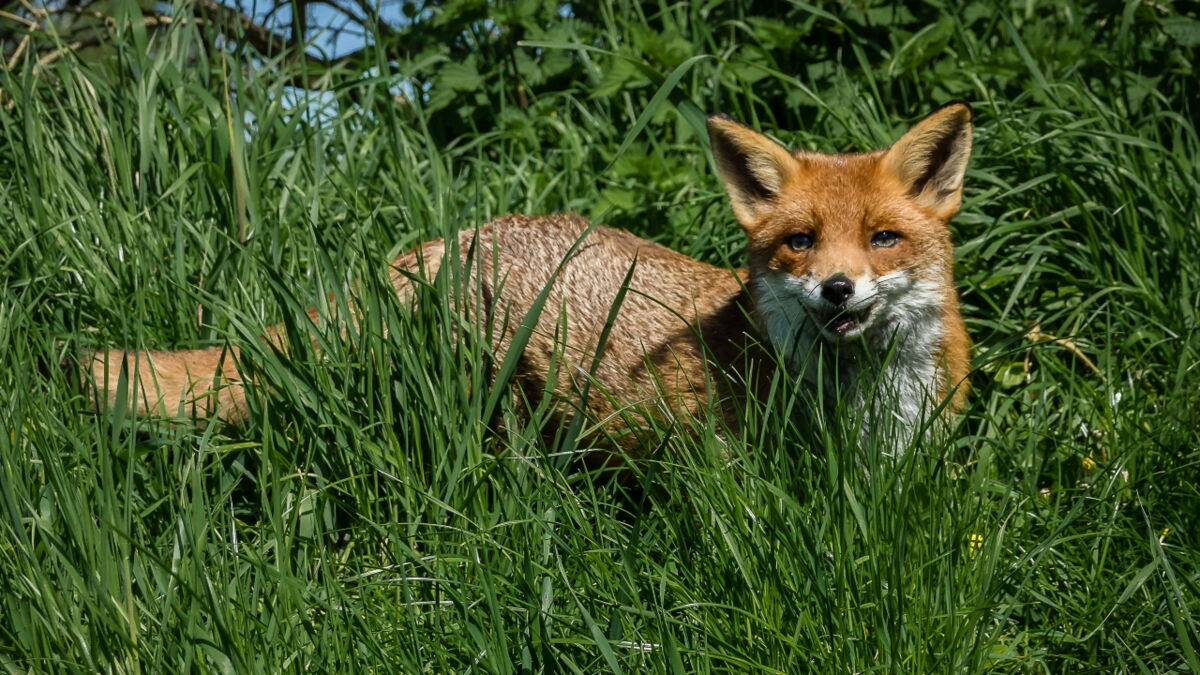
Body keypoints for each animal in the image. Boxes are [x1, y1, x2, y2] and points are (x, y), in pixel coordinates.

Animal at [85, 102, 973, 452]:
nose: (836, 289)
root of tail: (457, 236)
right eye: (799, 243)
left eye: (883, 238)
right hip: (495, 403)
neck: (863, 403)